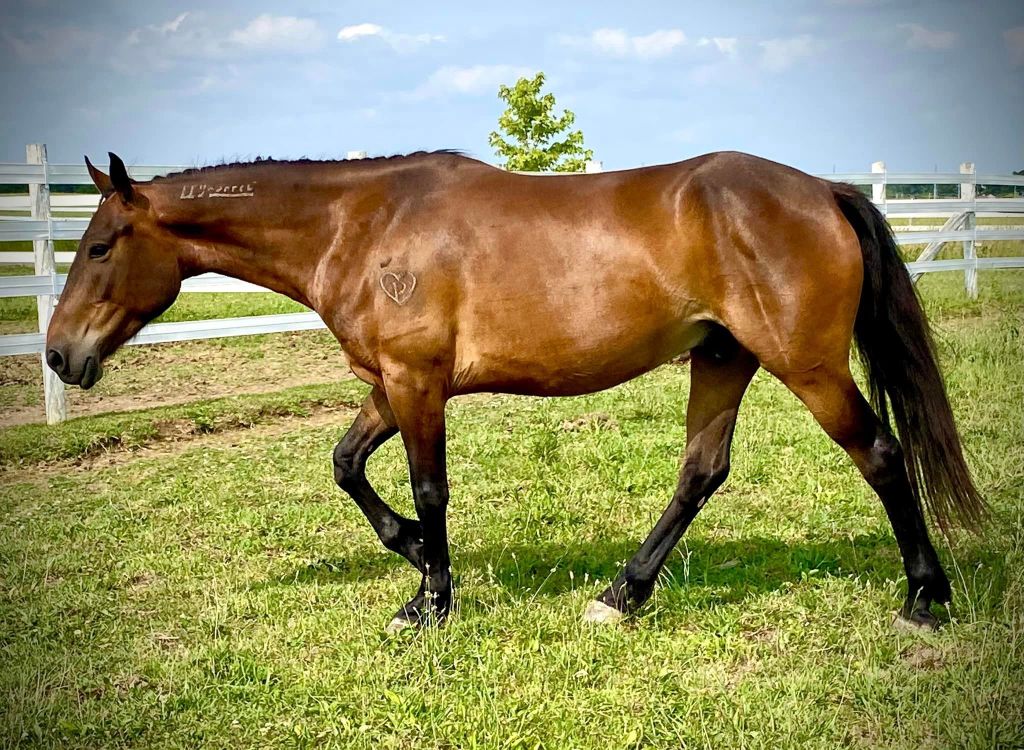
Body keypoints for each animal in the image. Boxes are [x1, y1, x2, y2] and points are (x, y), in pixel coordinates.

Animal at [46, 150, 985, 633]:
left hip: (807, 365)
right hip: (723, 358)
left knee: (881, 455)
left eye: (100, 245)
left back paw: (923, 600)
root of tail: (823, 188)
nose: (59, 355)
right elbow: (348, 466)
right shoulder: (389, 384)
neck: (363, 223)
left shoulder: (417, 384)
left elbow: (429, 488)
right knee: (701, 471)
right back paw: (620, 596)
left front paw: (429, 603)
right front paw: (415, 559)